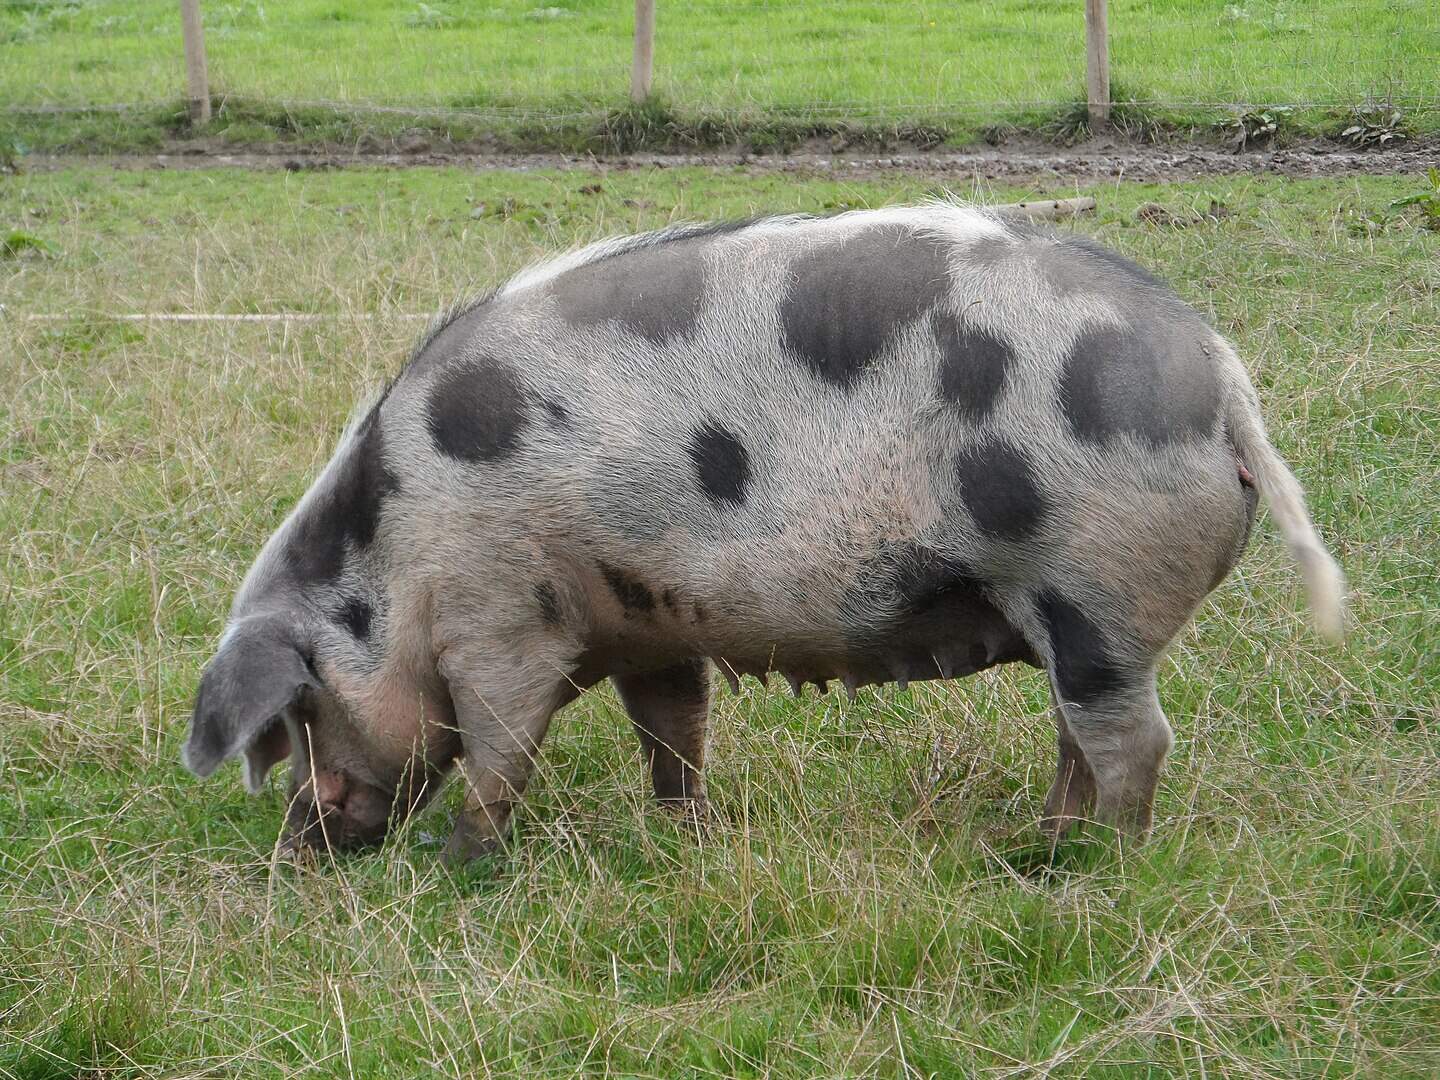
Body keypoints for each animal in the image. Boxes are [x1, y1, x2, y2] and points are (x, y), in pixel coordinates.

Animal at [182, 203, 1345, 862]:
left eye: (300, 717)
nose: (297, 854)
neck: (394, 554)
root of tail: (1219, 378)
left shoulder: (500, 614)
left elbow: (501, 747)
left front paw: (456, 861)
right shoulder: (645, 614)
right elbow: (673, 730)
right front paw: (682, 842)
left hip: (1094, 582)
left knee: (1134, 740)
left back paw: (1106, 876)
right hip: (1074, 612)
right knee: (1079, 732)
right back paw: (1036, 850)